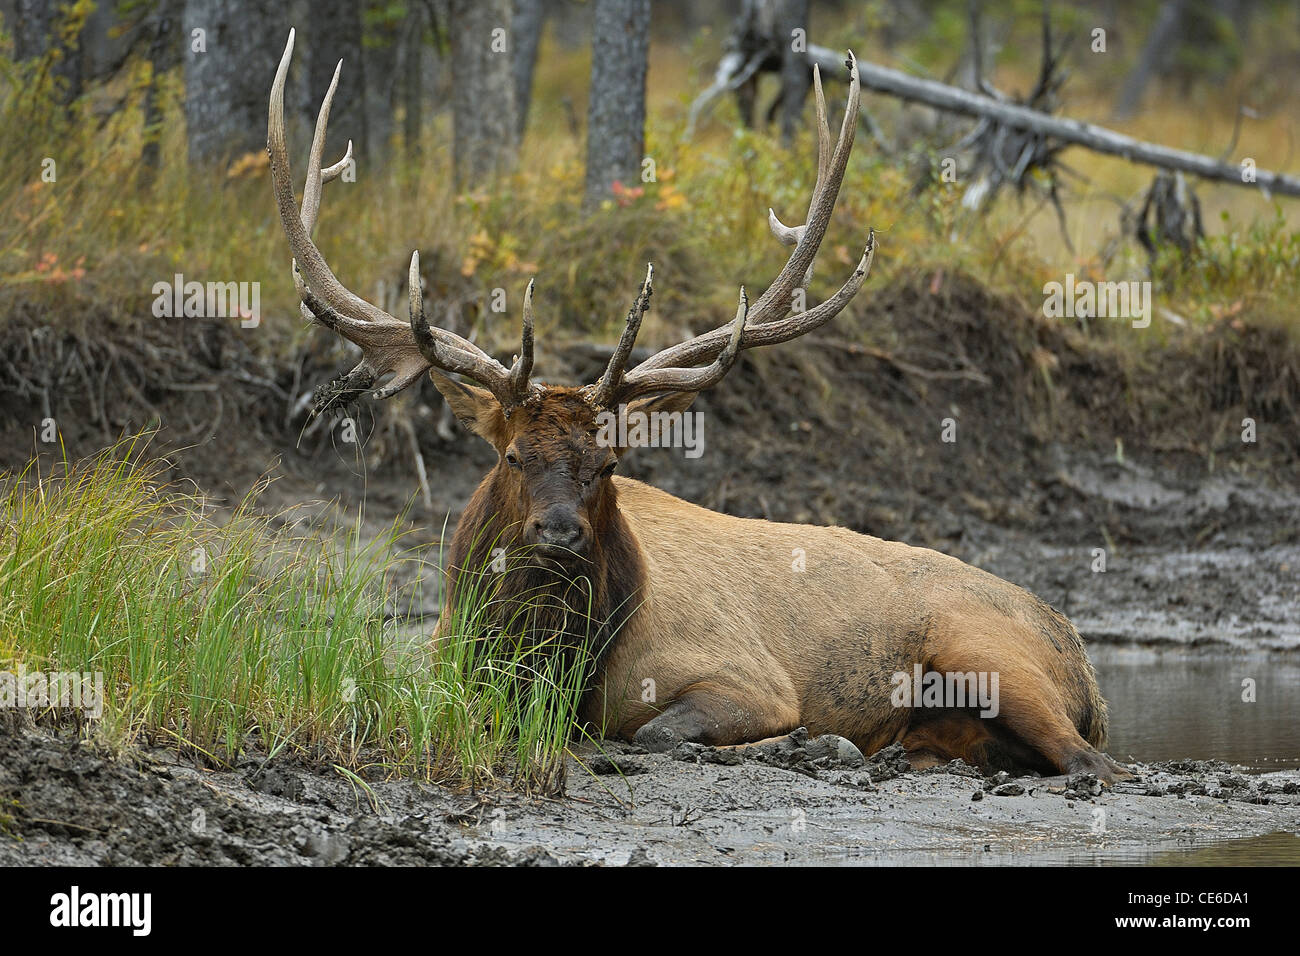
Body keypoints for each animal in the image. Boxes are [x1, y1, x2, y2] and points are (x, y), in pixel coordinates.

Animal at [268, 30, 1129, 783]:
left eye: (606, 465)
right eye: (511, 455)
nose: (559, 531)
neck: (555, 667)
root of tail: (1087, 668)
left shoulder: (749, 678)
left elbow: (657, 732)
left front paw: (798, 743)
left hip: (987, 651)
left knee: (1092, 762)